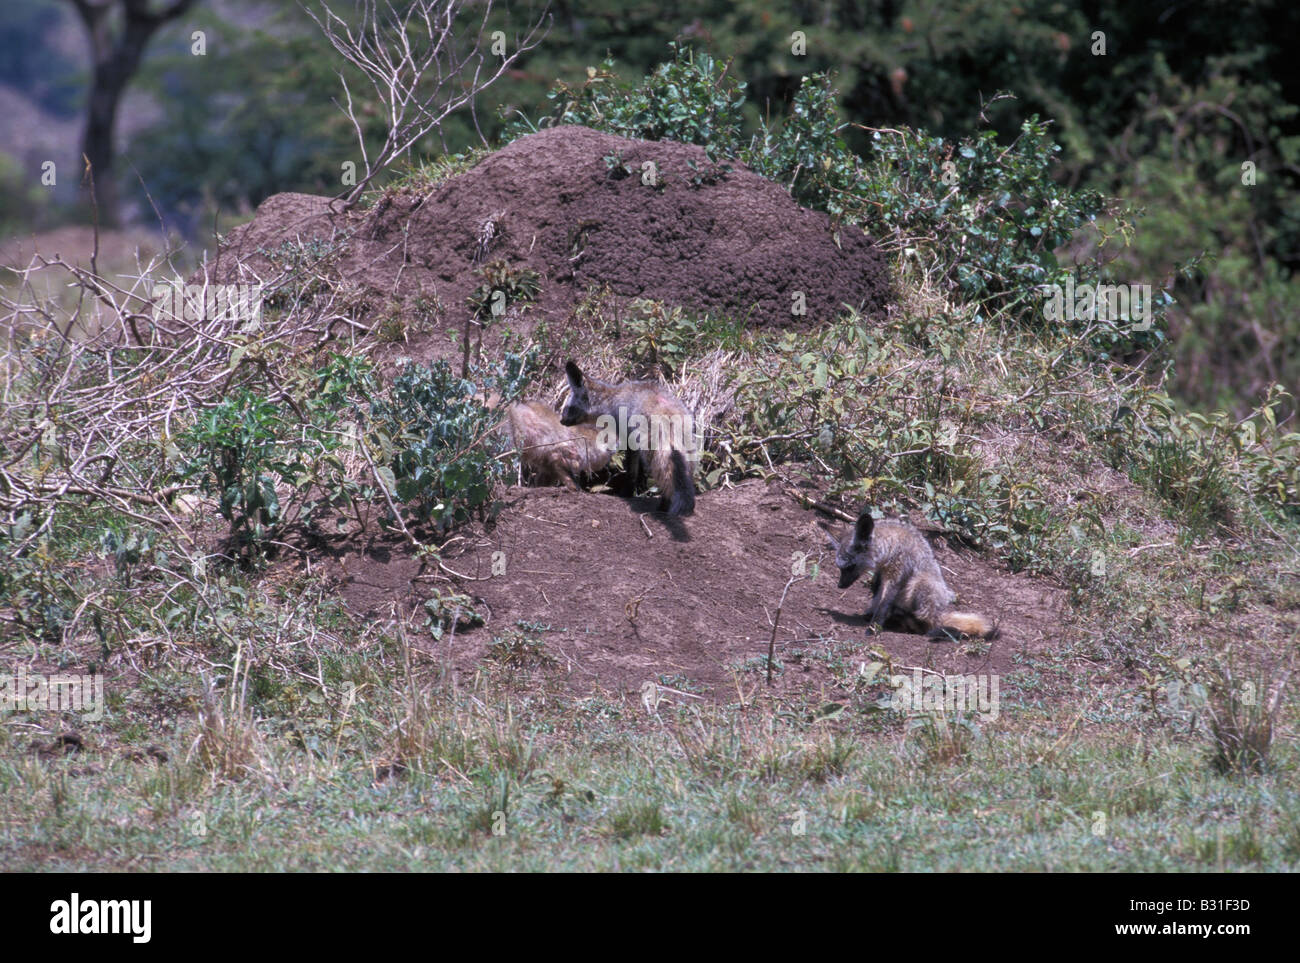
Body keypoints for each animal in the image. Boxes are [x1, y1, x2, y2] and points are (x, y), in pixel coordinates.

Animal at [560, 360, 696, 516]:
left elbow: (631, 473)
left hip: (653, 454)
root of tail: (667, 412)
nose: (561, 420)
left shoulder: (628, 440)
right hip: (686, 453)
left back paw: (664, 506)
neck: (610, 402)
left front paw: (626, 493)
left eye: (568, 408)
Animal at [822, 508, 995, 640]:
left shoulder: (895, 577)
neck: (891, 549)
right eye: (840, 568)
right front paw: (871, 615)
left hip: (920, 583)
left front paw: (873, 627)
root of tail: (940, 612)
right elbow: (876, 595)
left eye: (850, 567)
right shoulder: (880, 575)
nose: (840, 585)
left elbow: (883, 605)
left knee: (926, 625)